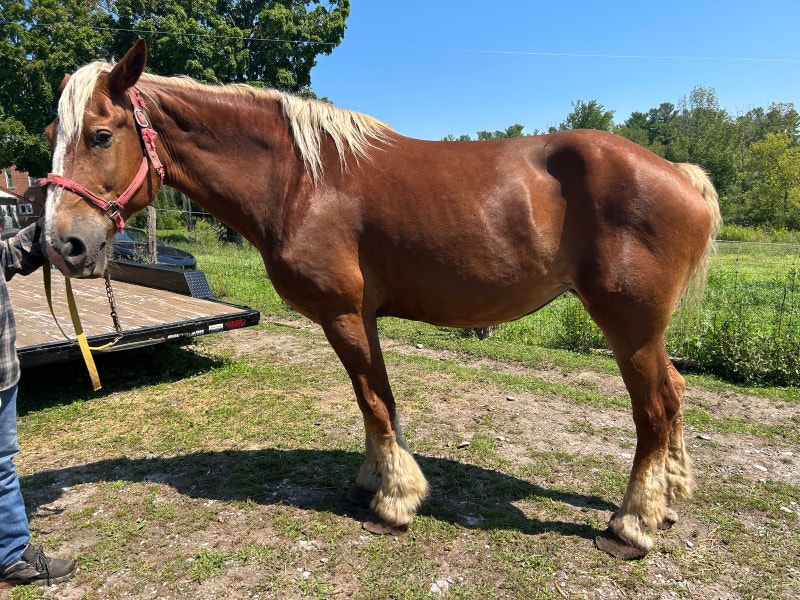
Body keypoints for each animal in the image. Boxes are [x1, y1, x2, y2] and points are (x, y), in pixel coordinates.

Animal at [42, 39, 721, 560]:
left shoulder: (344, 313)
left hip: (629, 328)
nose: (62, 244)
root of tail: (681, 174)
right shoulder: (358, 317)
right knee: (675, 394)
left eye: (100, 135)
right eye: (54, 133)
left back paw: (632, 524)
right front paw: (372, 481)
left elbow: (374, 399)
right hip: (645, 333)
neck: (301, 180)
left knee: (654, 409)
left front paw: (393, 500)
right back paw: (669, 498)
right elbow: (372, 402)